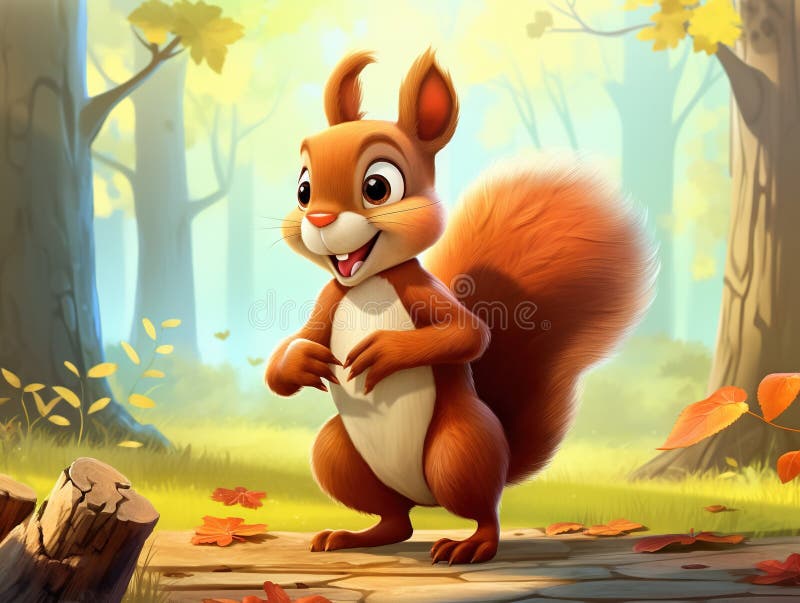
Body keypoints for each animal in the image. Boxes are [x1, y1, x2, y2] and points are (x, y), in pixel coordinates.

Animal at [266, 49, 655, 565]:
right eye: (303, 189)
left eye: (378, 186)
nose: (320, 218)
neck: (366, 282)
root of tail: (426, 497)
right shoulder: (330, 298)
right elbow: (291, 353)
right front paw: (303, 360)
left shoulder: (421, 290)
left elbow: (468, 335)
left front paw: (384, 350)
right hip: (338, 455)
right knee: (396, 521)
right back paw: (352, 536)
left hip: (459, 449)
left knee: (483, 512)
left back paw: (469, 545)